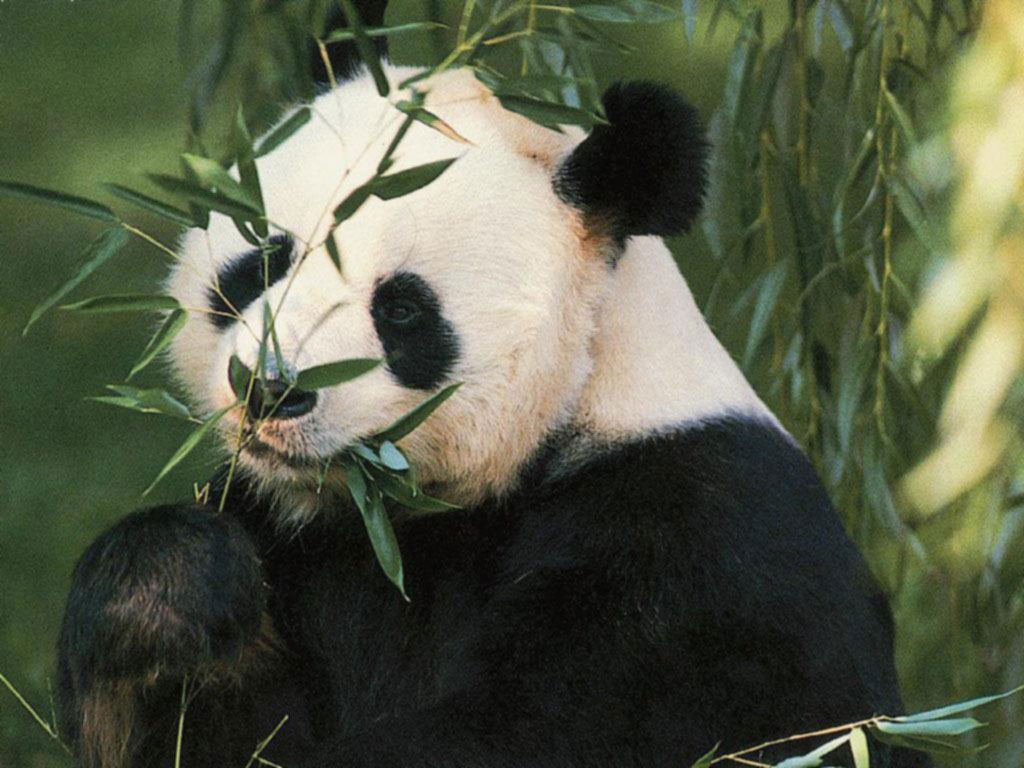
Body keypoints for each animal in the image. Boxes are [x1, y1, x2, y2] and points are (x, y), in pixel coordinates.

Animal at [55, 6, 926, 768]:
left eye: (402, 308)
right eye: (266, 259)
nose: (272, 390)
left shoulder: (693, 553)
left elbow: (538, 730)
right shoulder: (296, 539)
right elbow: (219, 719)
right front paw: (174, 589)